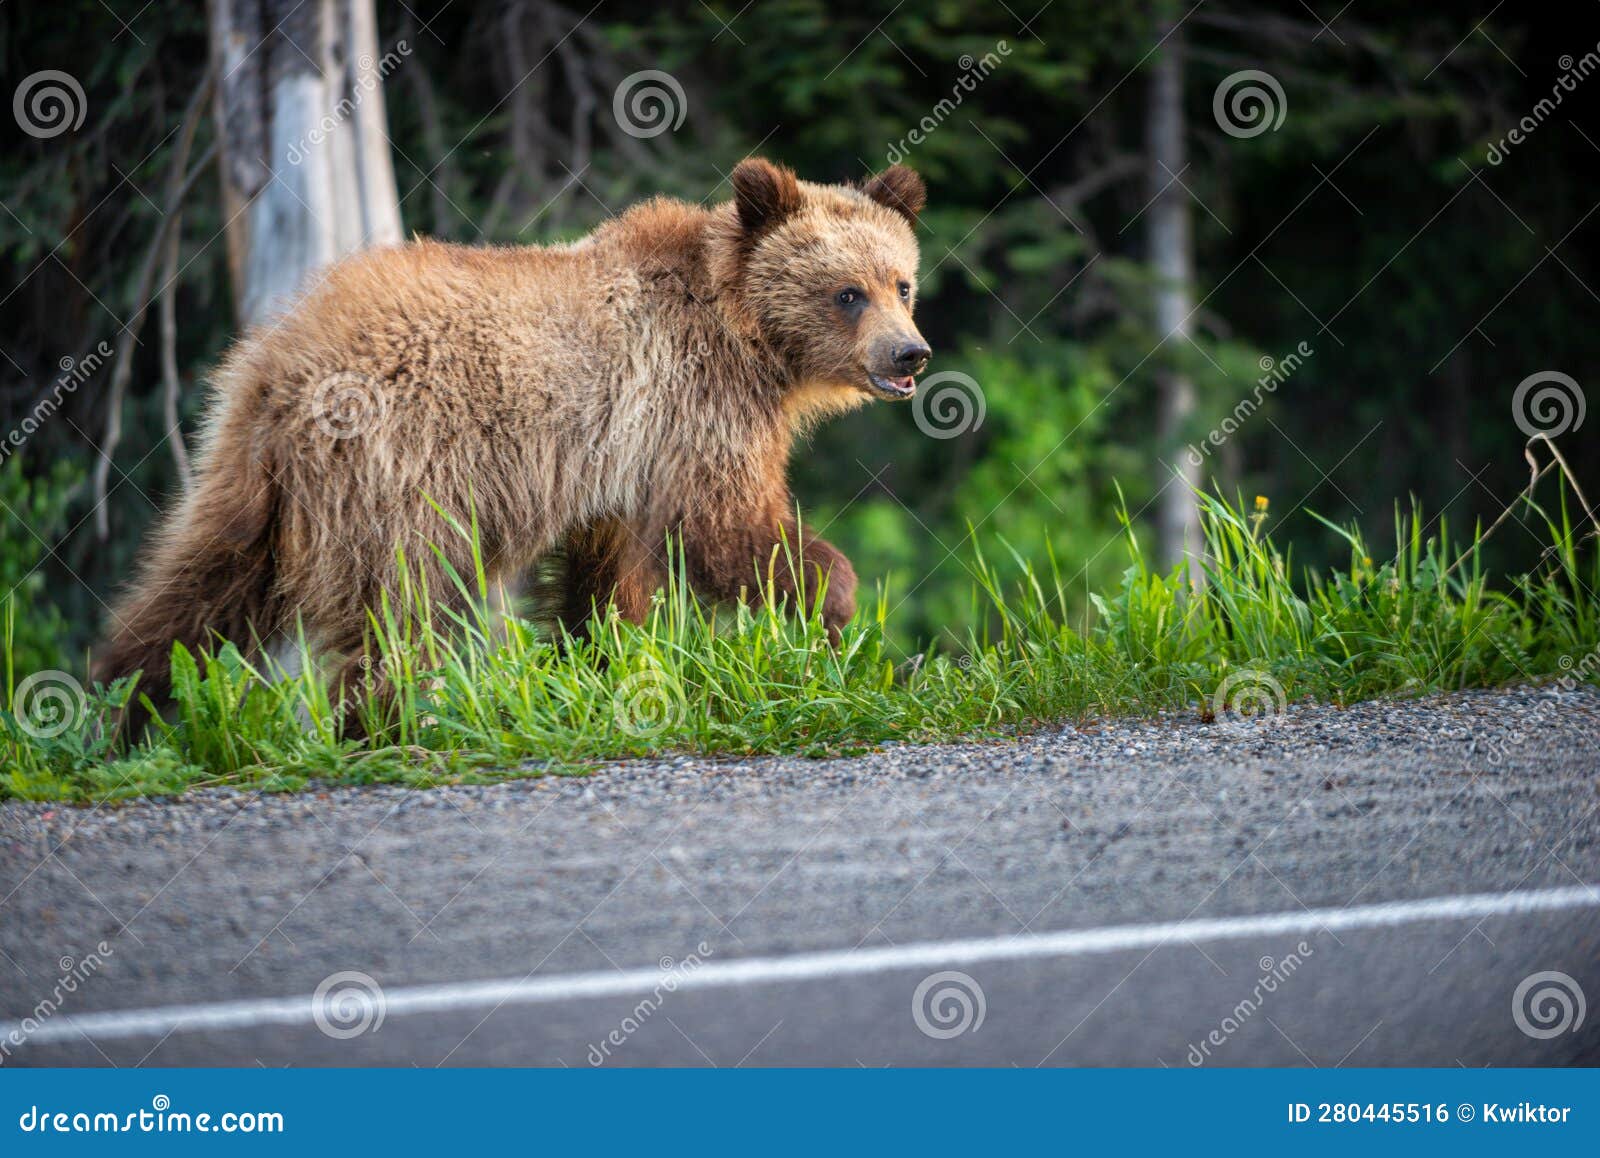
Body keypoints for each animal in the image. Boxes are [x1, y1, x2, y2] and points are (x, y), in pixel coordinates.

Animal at [93, 158, 931, 723]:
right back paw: (393, 724)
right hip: (401, 467)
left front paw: (602, 665)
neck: (746, 334)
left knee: (198, 585)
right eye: (847, 292)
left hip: (247, 471)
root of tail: (283, 362)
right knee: (401, 604)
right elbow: (726, 525)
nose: (910, 355)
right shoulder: (691, 405)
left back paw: (118, 707)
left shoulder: (621, 459)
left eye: (902, 283)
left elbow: (608, 575)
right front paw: (834, 603)